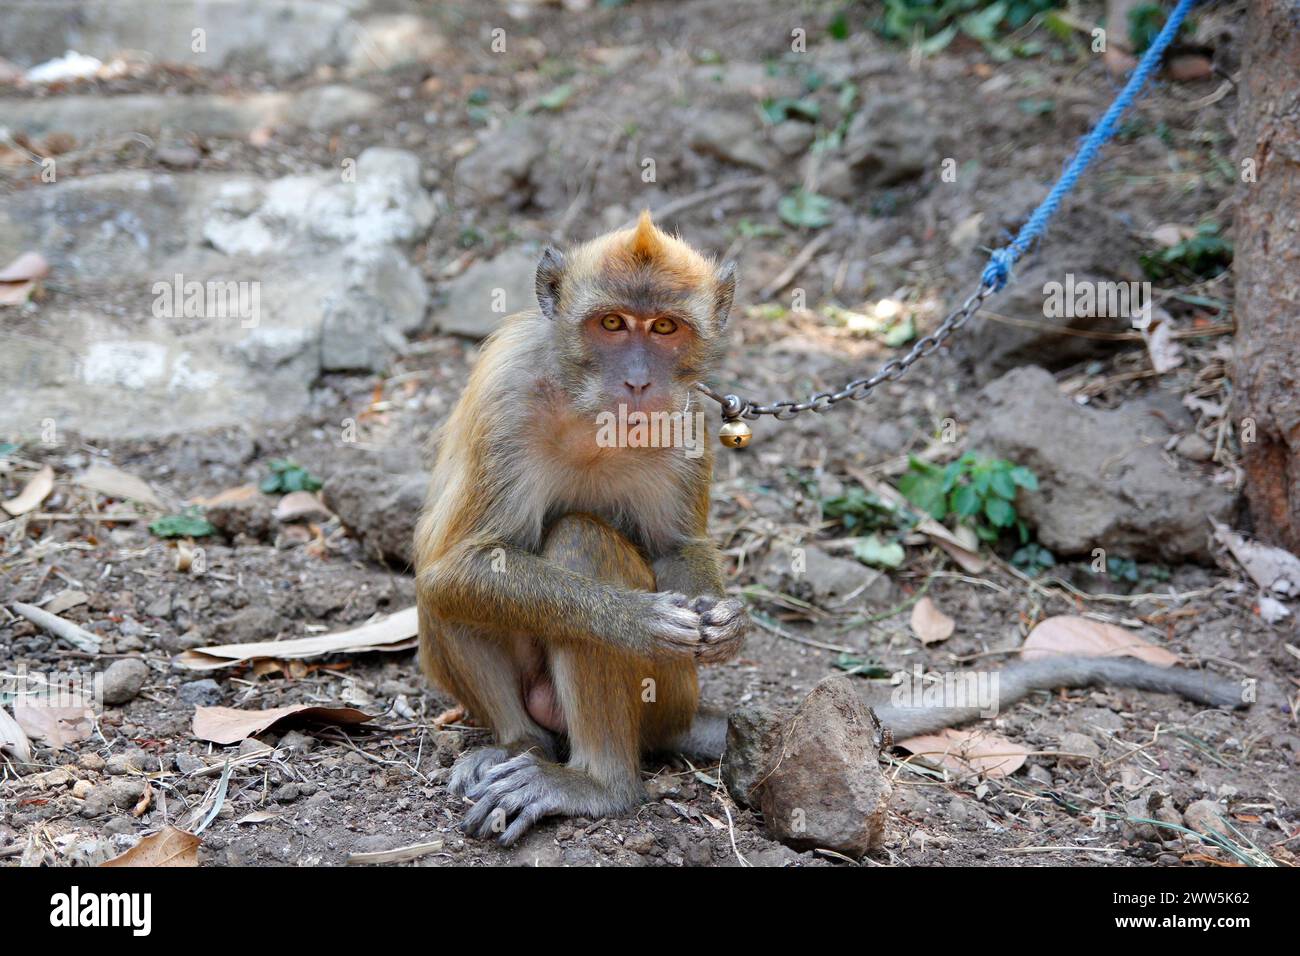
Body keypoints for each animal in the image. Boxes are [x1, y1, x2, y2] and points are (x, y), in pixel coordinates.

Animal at [415, 211, 1247, 846]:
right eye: (612, 324)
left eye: (664, 328)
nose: (639, 380)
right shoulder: (510, 392)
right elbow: (456, 565)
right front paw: (635, 620)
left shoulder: (693, 413)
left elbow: (679, 547)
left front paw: (725, 624)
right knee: (457, 585)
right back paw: (535, 756)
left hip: (668, 697)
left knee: (577, 542)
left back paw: (595, 783)